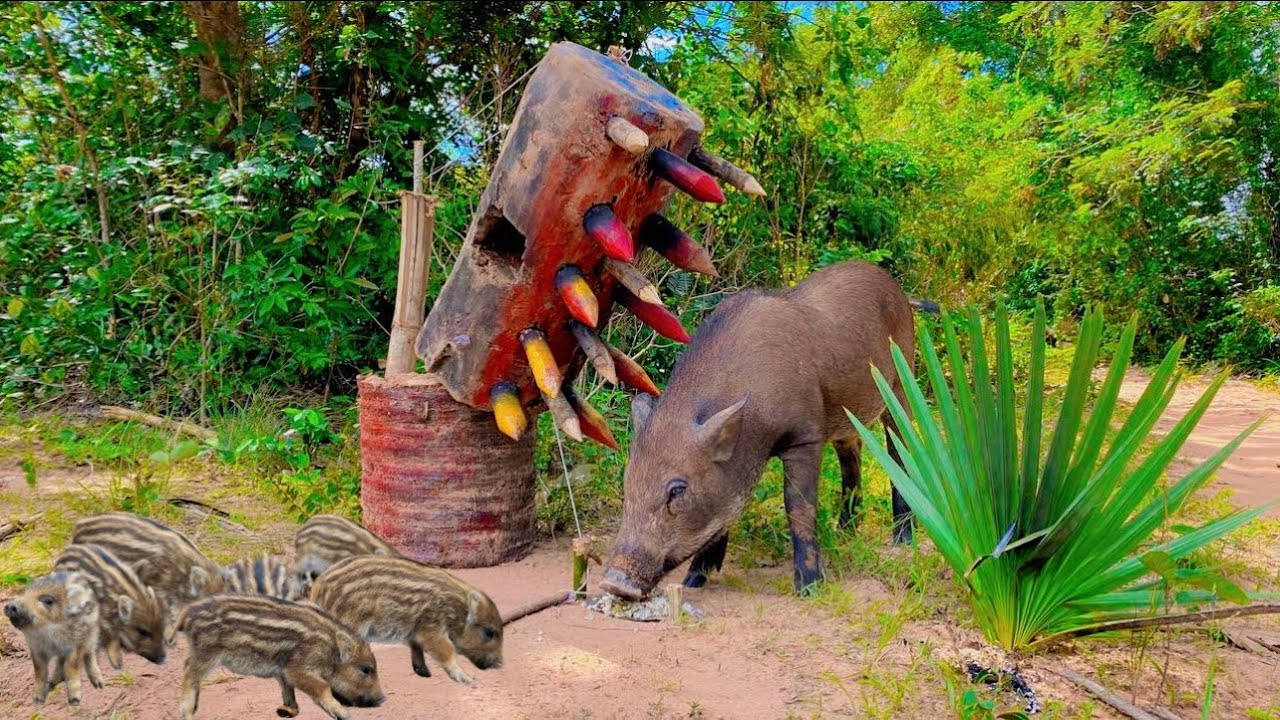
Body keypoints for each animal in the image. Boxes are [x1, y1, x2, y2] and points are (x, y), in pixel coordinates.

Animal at [4, 570, 102, 706]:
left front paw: (74, 701)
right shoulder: (36, 649)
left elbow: (71, 669)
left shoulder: (75, 645)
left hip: (92, 635)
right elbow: (39, 672)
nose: (10, 605)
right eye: (24, 593)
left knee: (90, 653)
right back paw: (52, 684)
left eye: (47, 601)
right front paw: (37, 701)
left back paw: (99, 684)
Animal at [173, 594, 384, 720]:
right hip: (208, 653)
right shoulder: (298, 667)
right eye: (365, 669)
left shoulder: (283, 669)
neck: (329, 648)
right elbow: (321, 687)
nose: (382, 700)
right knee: (190, 670)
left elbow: (287, 689)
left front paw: (287, 711)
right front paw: (345, 715)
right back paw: (188, 713)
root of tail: (186, 613)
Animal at [308, 555, 503, 685]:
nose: (501, 664)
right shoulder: (432, 629)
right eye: (489, 632)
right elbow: (447, 652)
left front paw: (424, 673)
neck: (458, 609)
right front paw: (468, 680)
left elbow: (416, 648)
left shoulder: (415, 632)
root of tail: (317, 588)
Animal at [601, 261, 921, 600]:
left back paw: (901, 539)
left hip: (901, 382)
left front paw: (809, 590)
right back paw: (845, 531)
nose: (614, 582)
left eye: (677, 489)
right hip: (846, 417)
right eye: (627, 482)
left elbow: (798, 506)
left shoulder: (805, 436)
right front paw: (693, 581)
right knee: (852, 454)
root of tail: (898, 290)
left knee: (899, 449)